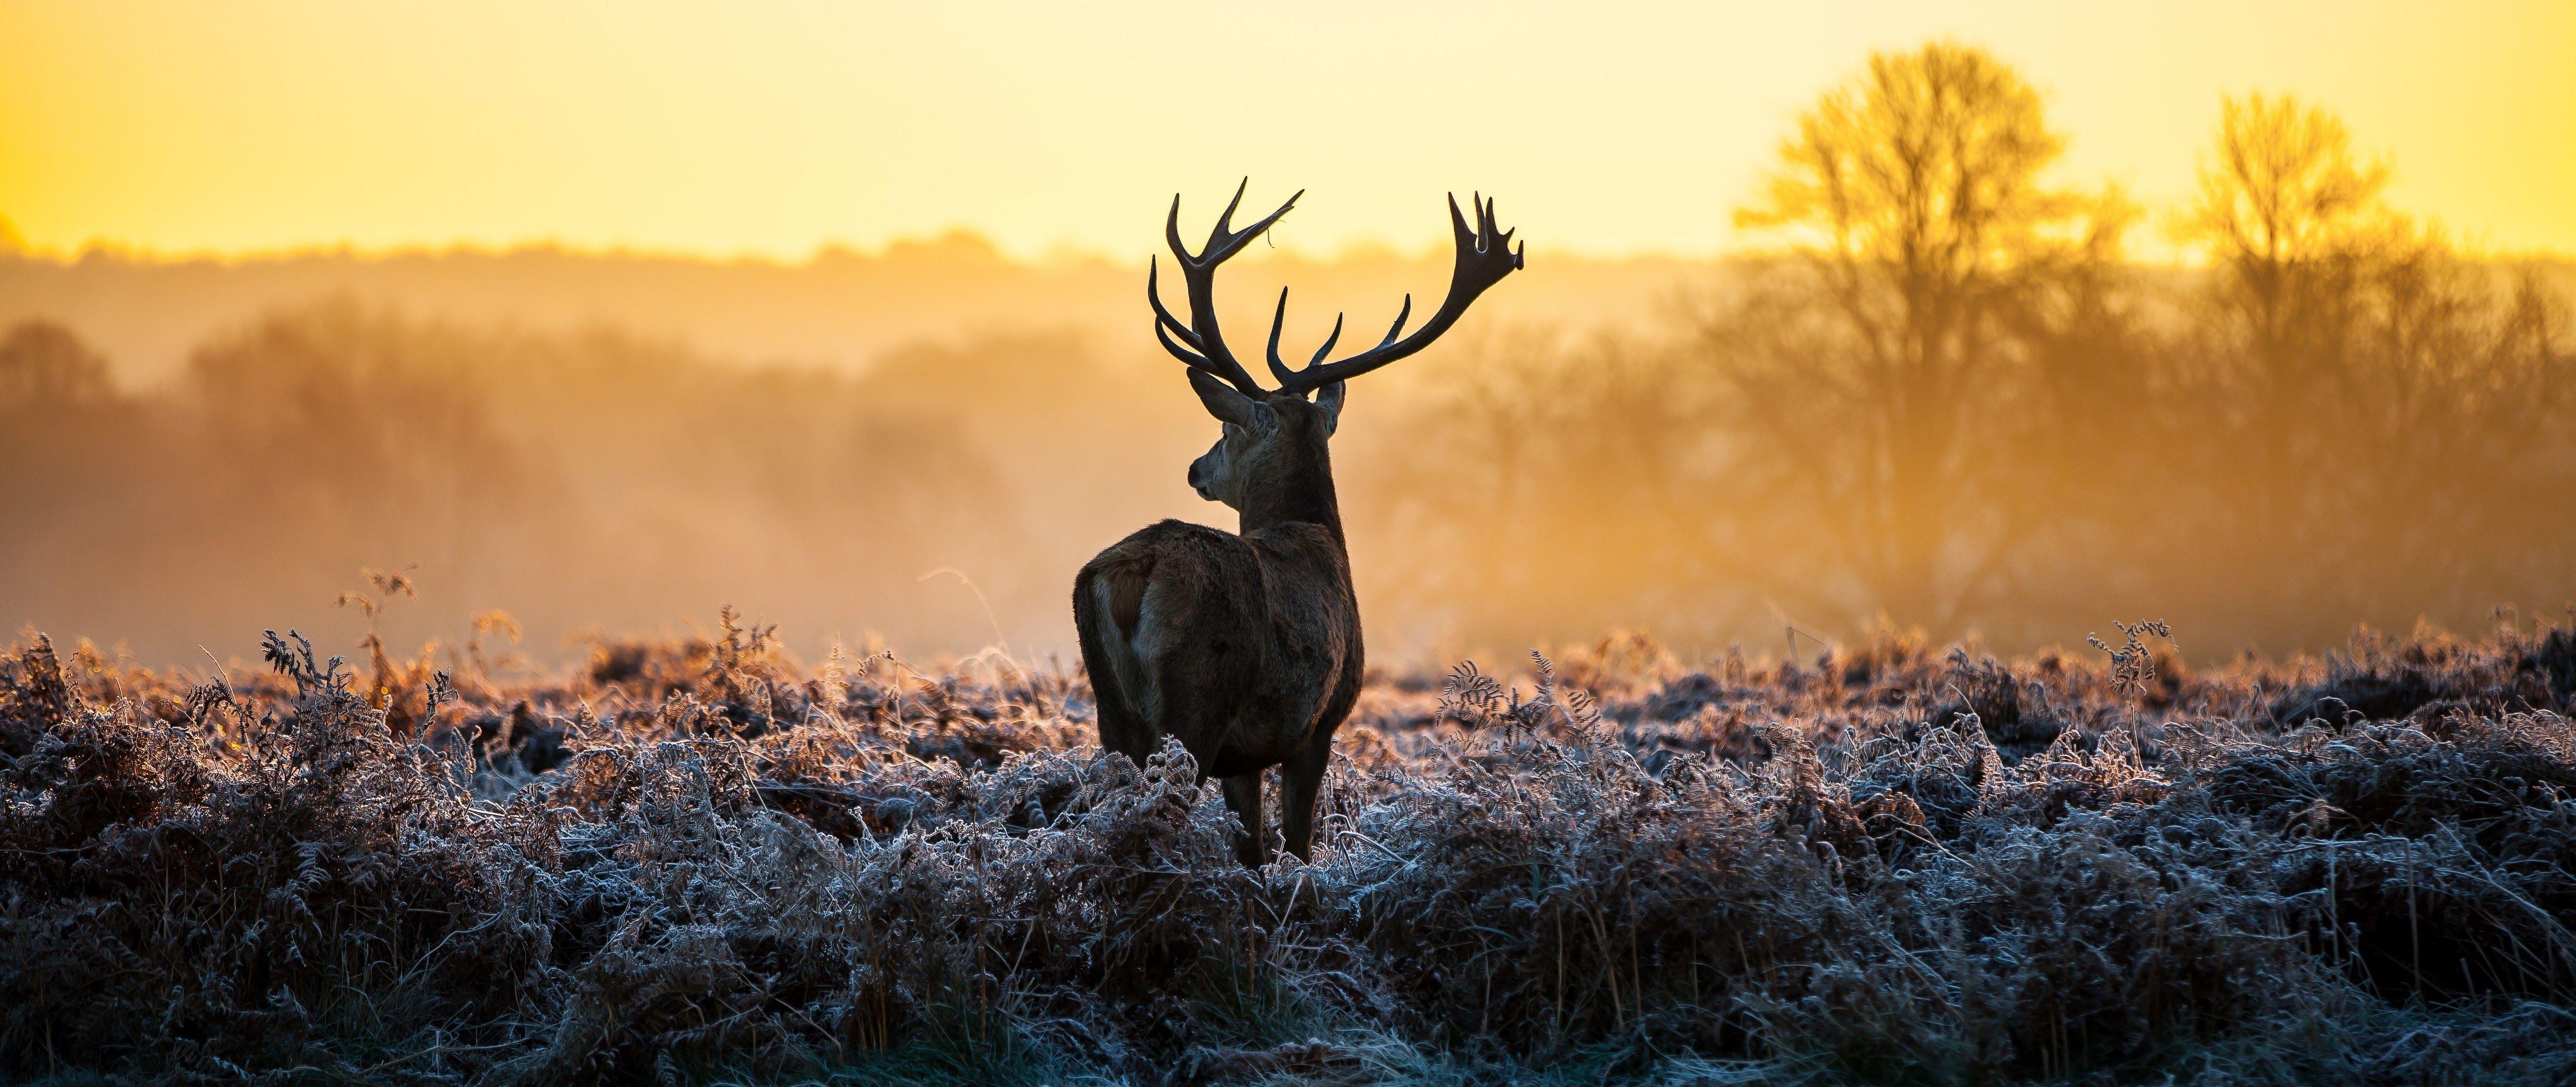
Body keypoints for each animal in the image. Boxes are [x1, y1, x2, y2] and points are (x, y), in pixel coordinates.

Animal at [1073, 182, 1523, 866]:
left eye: (1226, 428)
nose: (1195, 468)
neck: (1317, 535)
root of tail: (1131, 574)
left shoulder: (1247, 755)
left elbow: (1253, 850)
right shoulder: (1317, 723)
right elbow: (1297, 846)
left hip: (1113, 714)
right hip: (1196, 702)